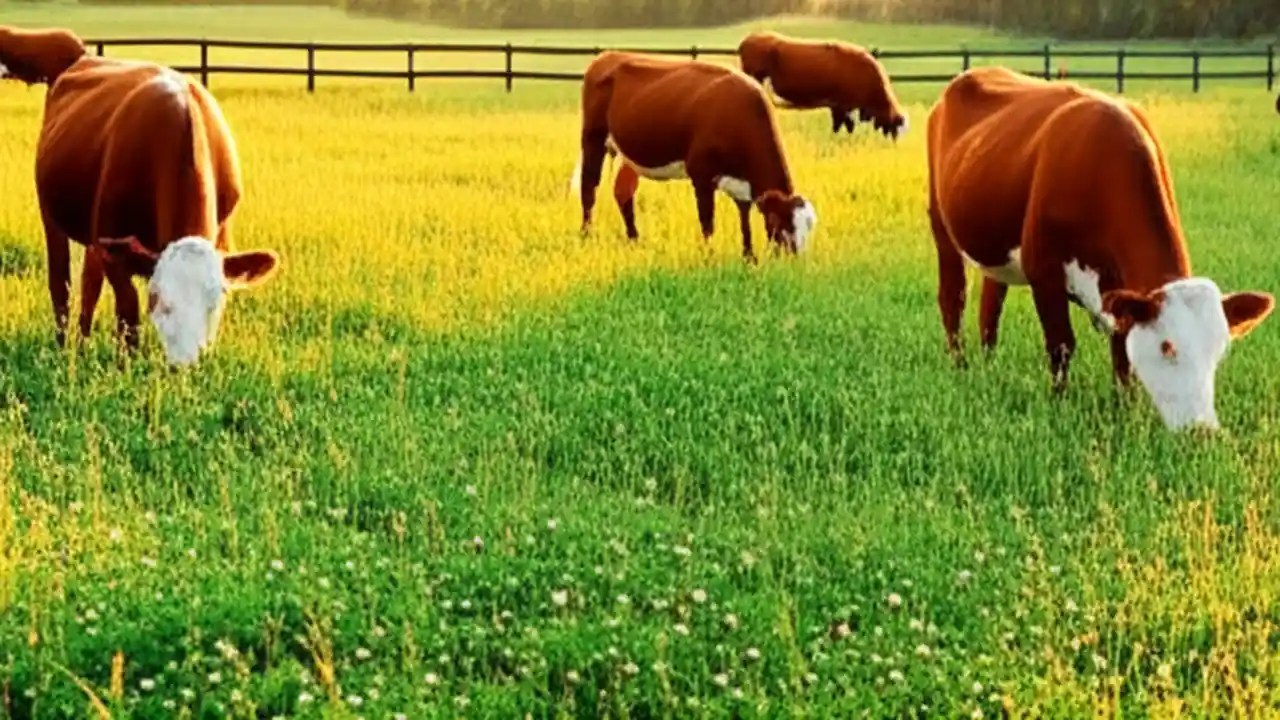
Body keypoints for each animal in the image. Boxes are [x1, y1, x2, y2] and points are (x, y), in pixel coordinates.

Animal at [1, 26, 280, 367]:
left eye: (216, 300)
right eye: (161, 301)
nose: (185, 364)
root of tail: (83, 57)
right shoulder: (113, 247)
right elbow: (128, 311)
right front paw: (127, 364)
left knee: (88, 284)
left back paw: (81, 345)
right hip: (52, 215)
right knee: (61, 284)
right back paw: (64, 348)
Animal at [570, 51, 817, 262]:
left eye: (809, 227)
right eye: (783, 224)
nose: (795, 261)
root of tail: (608, 55)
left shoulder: (741, 183)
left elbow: (744, 218)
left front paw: (748, 256)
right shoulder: (701, 174)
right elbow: (707, 221)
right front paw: (709, 256)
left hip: (629, 153)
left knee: (623, 191)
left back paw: (634, 240)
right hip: (593, 137)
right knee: (589, 187)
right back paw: (586, 234)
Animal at [737, 30, 907, 139]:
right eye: (896, 127)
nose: (894, 142)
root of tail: (748, 40)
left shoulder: (841, 107)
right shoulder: (841, 106)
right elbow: (844, 125)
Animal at [926, 66, 1273, 432]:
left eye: (1220, 351)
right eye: (1167, 347)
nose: (1201, 430)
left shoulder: (1120, 294)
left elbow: (1122, 356)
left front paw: (1126, 410)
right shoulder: (1044, 269)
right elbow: (1061, 345)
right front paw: (1059, 403)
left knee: (990, 304)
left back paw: (989, 365)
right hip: (941, 226)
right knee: (952, 298)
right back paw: (960, 365)